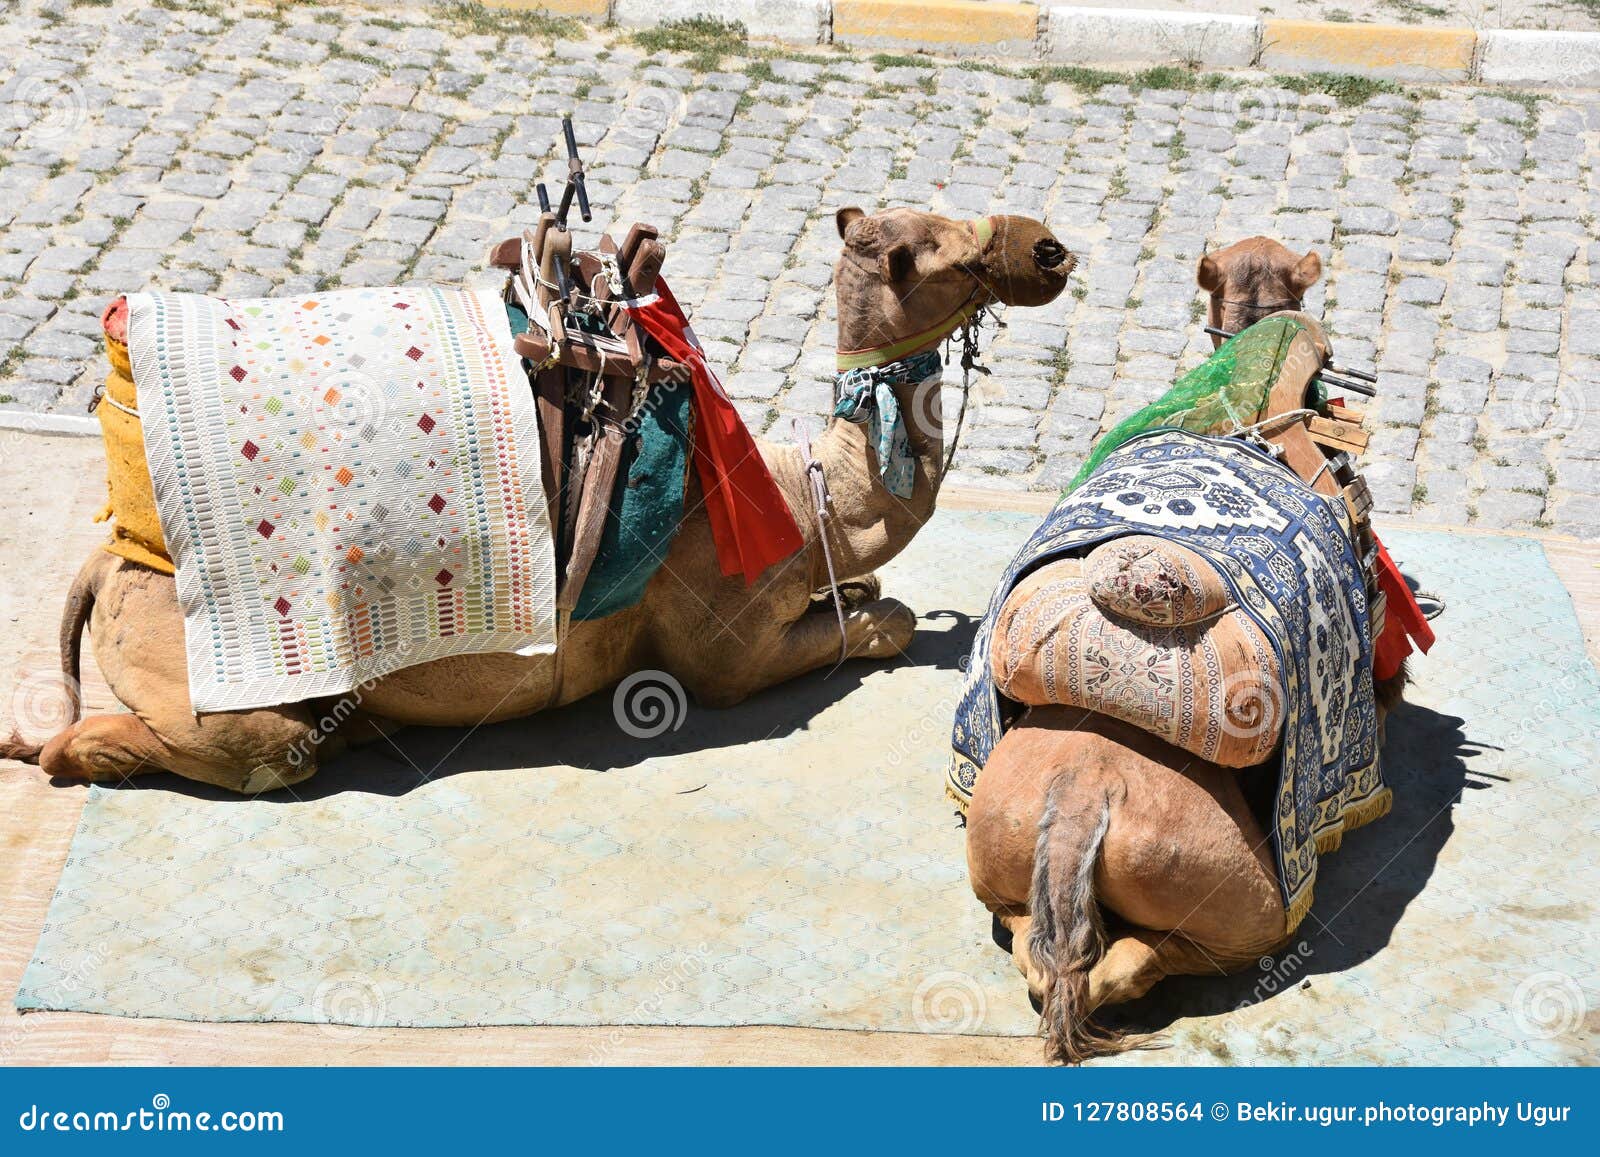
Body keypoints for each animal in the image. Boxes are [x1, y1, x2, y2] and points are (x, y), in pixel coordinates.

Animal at [4, 208, 1075, 794]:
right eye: (941, 250)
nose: (1048, 247)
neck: (793, 489)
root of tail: (112, 555)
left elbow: (858, 599)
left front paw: (861, 595)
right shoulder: (719, 647)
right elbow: (855, 634)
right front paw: (883, 615)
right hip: (209, 676)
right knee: (217, 747)